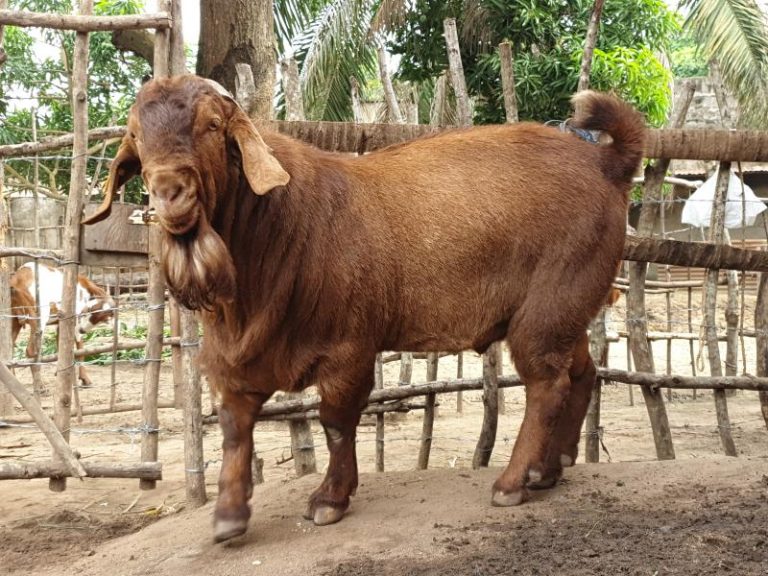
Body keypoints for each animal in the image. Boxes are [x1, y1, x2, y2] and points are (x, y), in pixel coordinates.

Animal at [83, 74, 645, 543]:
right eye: (136, 134)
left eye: (212, 126)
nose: (170, 194)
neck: (275, 226)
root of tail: (606, 164)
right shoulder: (235, 357)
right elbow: (235, 428)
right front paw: (228, 516)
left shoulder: (348, 347)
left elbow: (335, 423)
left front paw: (330, 499)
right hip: (568, 309)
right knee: (583, 372)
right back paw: (550, 469)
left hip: (550, 303)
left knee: (547, 383)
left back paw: (512, 482)